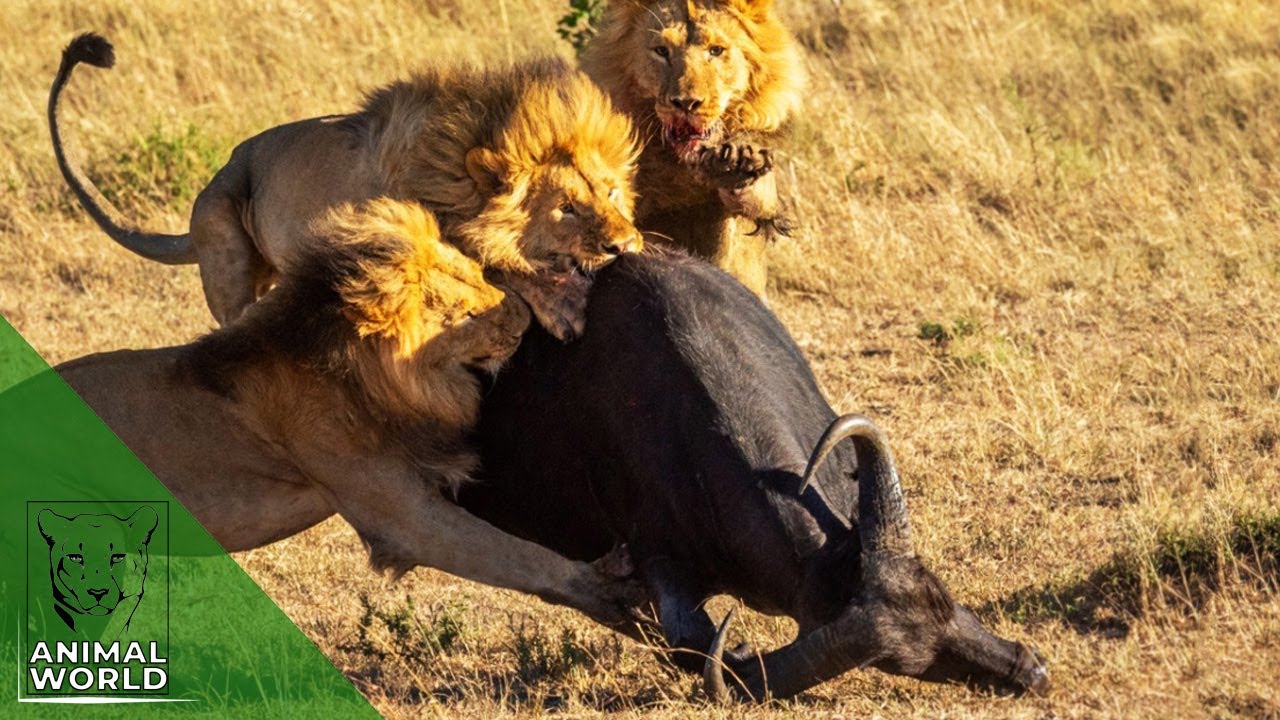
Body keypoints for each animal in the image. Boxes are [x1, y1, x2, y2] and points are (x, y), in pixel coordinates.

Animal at [49, 33, 642, 340]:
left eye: (611, 193)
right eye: (566, 208)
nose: (626, 245)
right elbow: (500, 267)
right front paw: (562, 302)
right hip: (226, 248)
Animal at [53, 198, 641, 630]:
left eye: (477, 274)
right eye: (463, 313)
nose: (520, 317)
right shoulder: (399, 517)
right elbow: (517, 556)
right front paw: (607, 588)